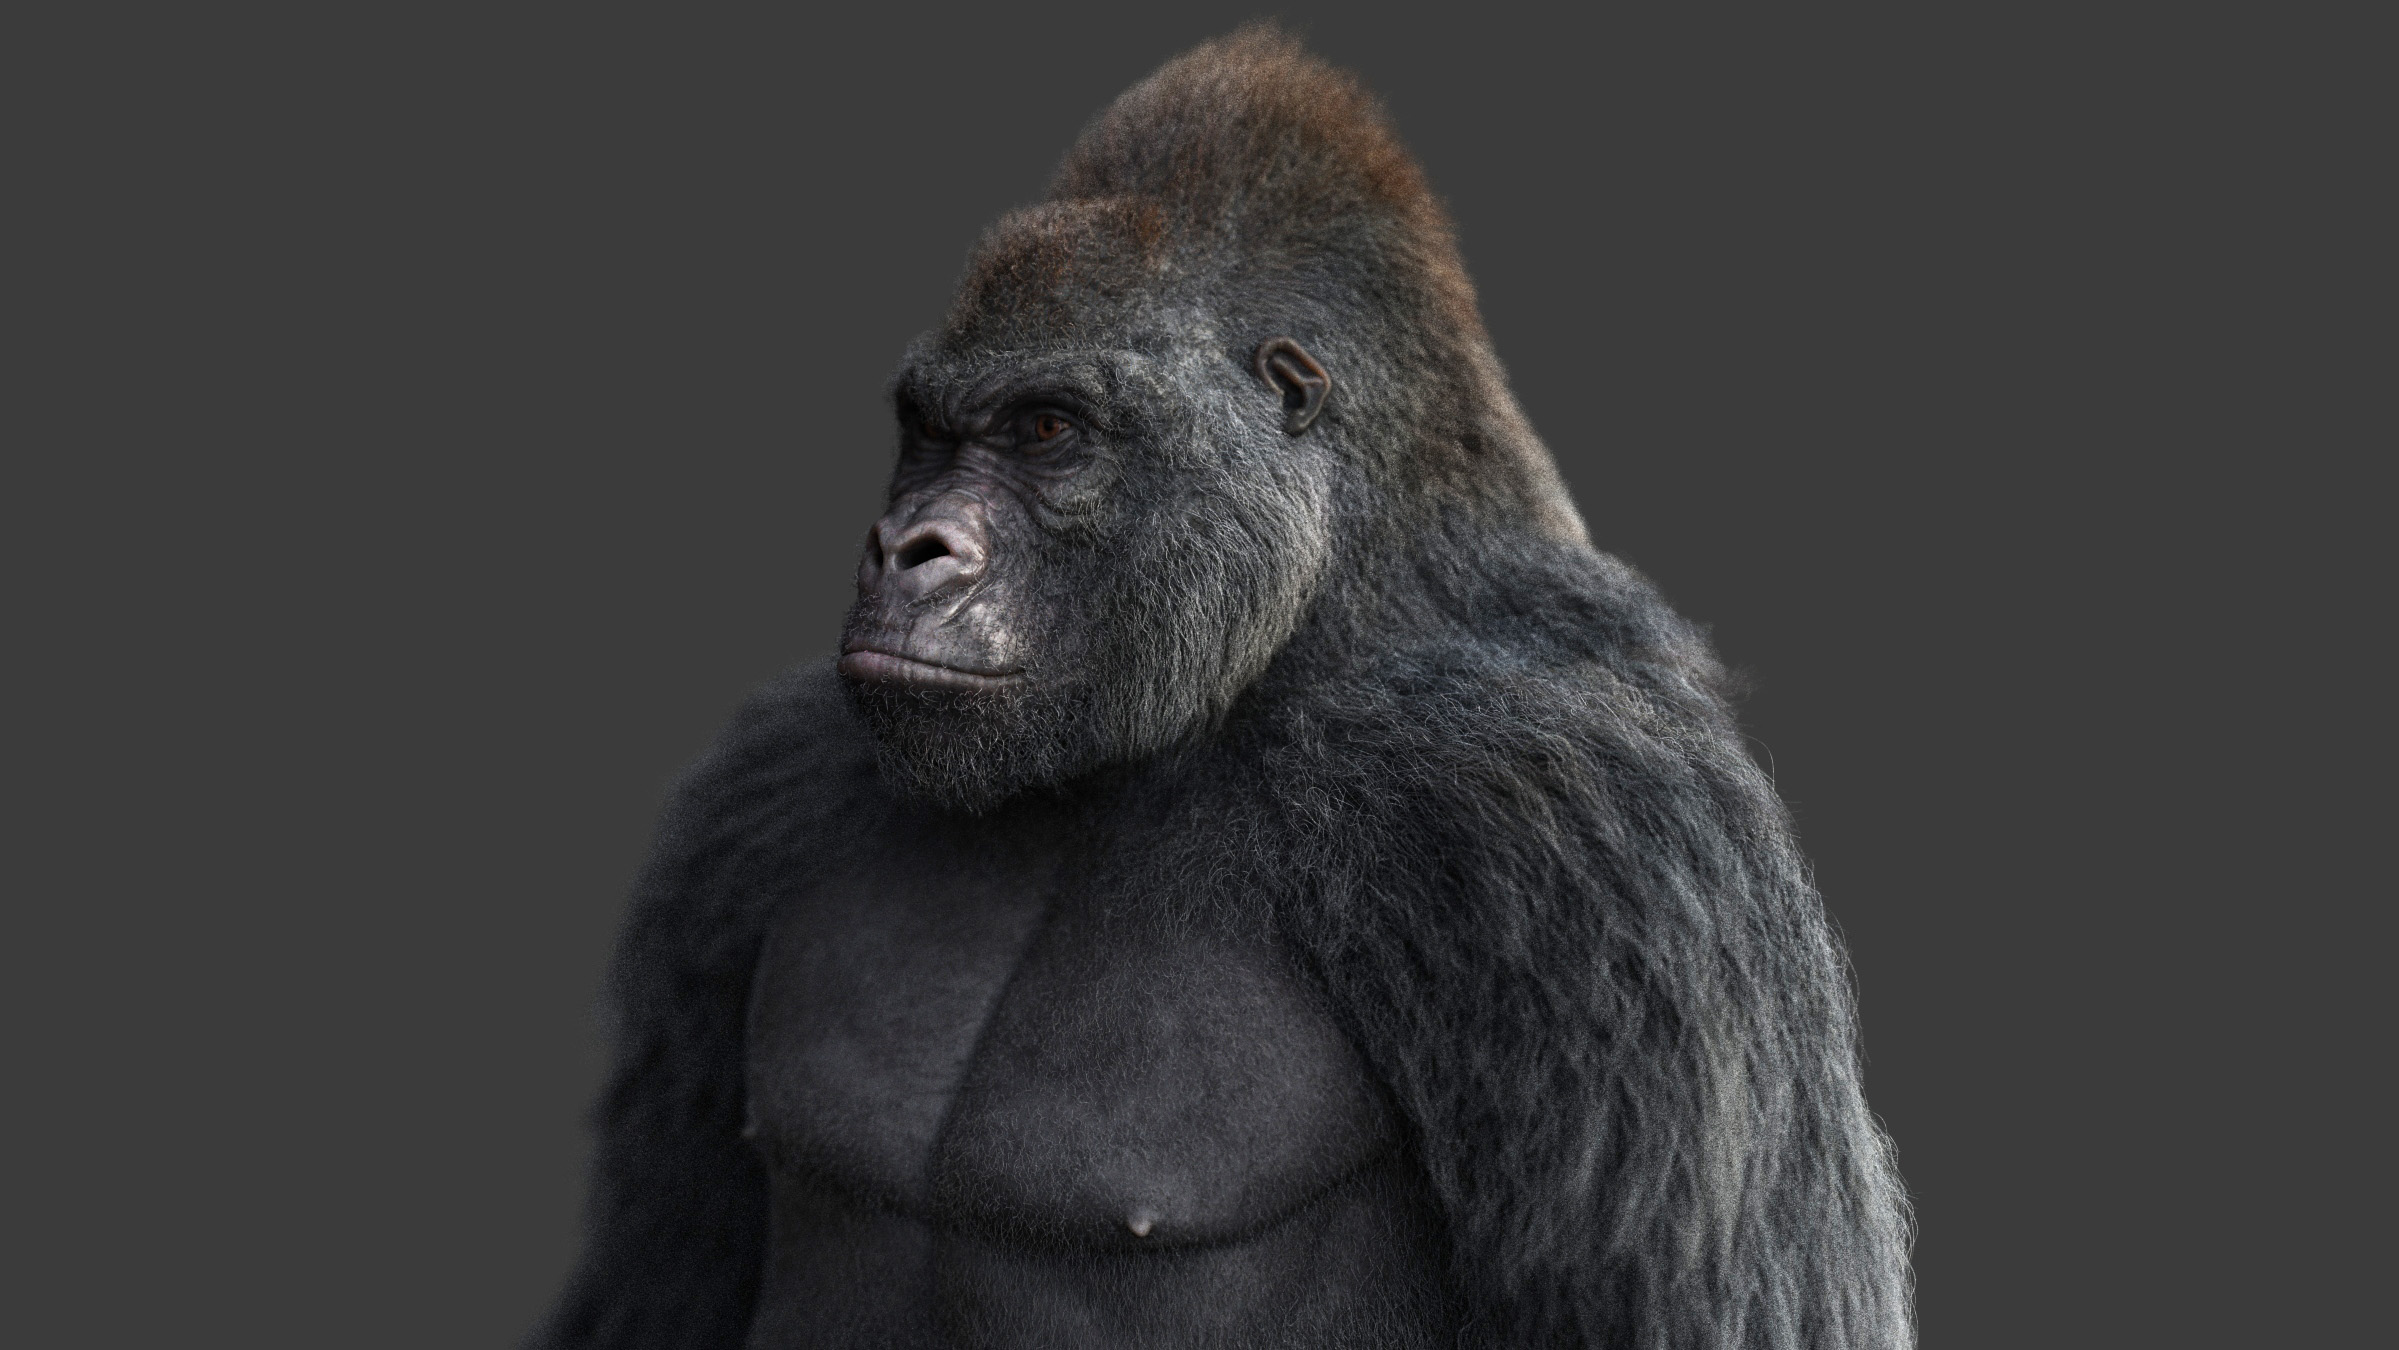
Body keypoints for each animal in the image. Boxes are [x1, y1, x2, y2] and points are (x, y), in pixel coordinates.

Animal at [533, 25, 1912, 1349]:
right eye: (925, 432)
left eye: (1045, 430)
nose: (906, 547)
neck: (1273, 655)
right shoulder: (758, 803)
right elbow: (670, 1267)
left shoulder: (1580, 819)